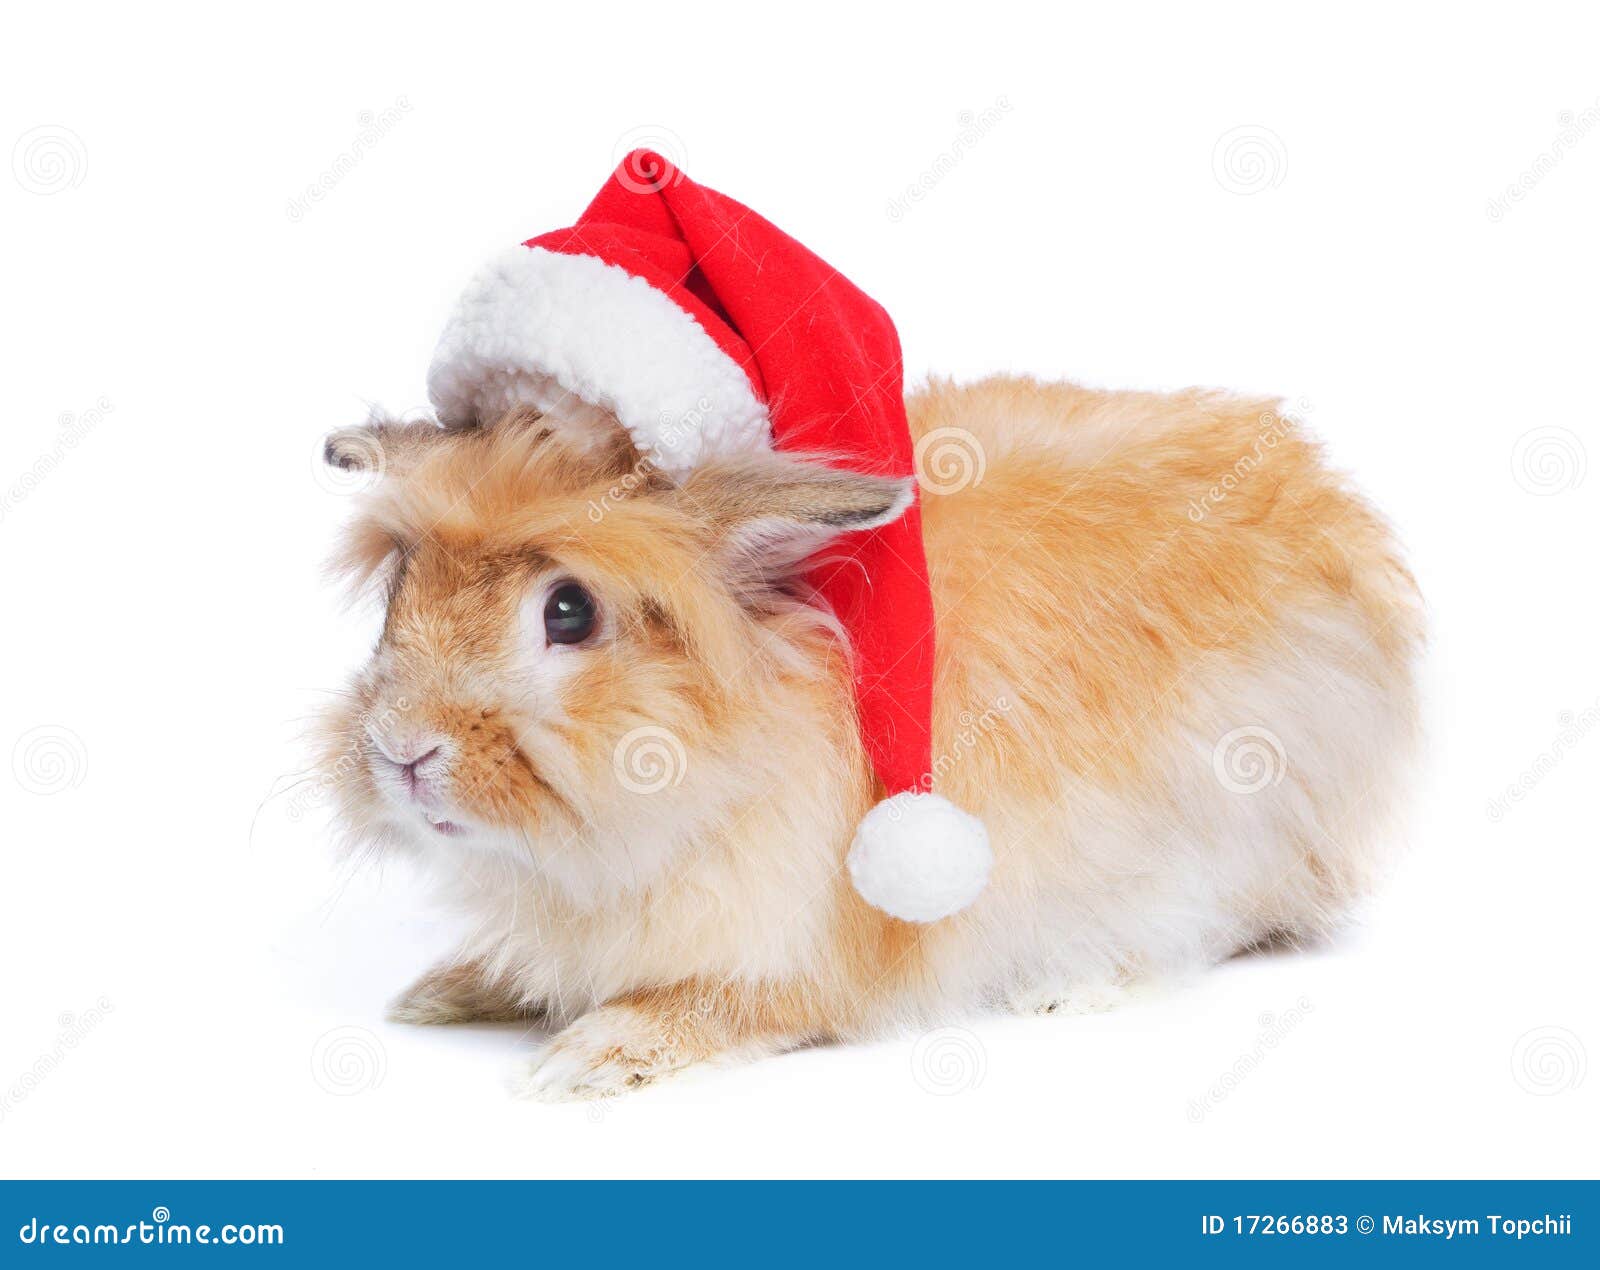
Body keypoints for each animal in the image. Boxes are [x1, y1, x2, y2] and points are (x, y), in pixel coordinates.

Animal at [316, 374, 1423, 1100]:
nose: (401, 751)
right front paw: (444, 990)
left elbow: (725, 1008)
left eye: (570, 612)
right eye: (400, 587)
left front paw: (589, 1056)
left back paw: (1070, 988)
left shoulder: (810, 954)